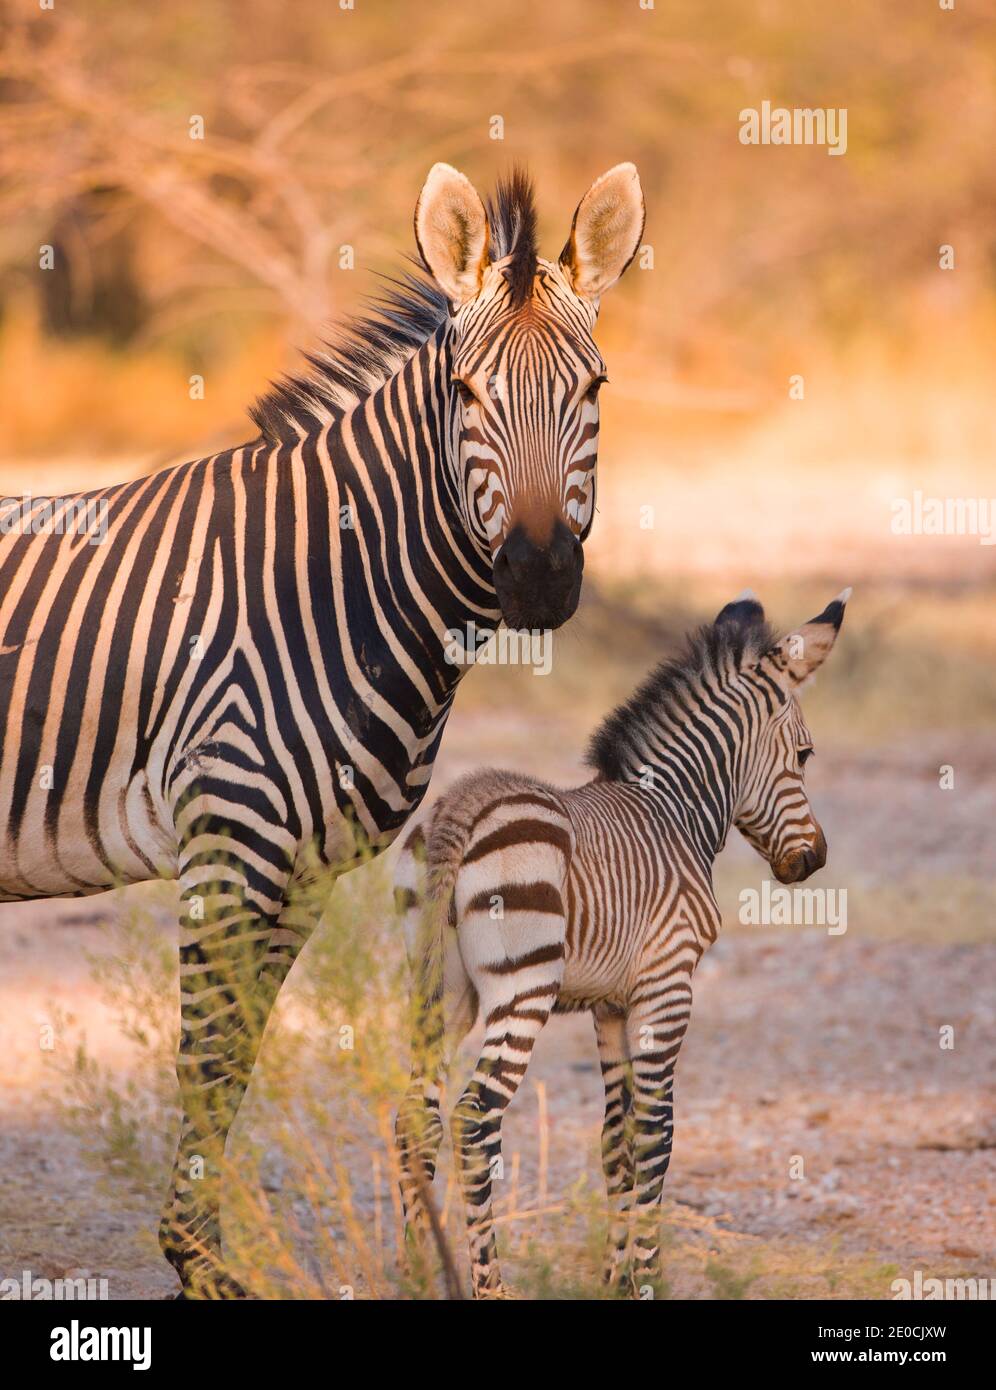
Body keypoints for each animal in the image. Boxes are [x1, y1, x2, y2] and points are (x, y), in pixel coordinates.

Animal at [0, 162, 646, 1297]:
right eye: (465, 394)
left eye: (596, 390)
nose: (537, 576)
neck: (330, 584)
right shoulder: (230, 841)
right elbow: (209, 1060)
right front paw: (200, 1265)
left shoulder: (300, 873)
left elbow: (240, 1058)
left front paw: (201, 1258)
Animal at [394, 587, 849, 1297]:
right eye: (803, 756)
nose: (815, 860)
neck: (677, 810)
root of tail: (459, 809)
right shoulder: (669, 987)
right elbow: (657, 1135)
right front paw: (648, 1278)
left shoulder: (610, 1006)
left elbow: (617, 1140)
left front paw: (613, 1277)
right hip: (522, 990)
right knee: (473, 1119)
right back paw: (489, 1284)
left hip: (440, 989)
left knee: (417, 1116)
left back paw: (417, 1273)